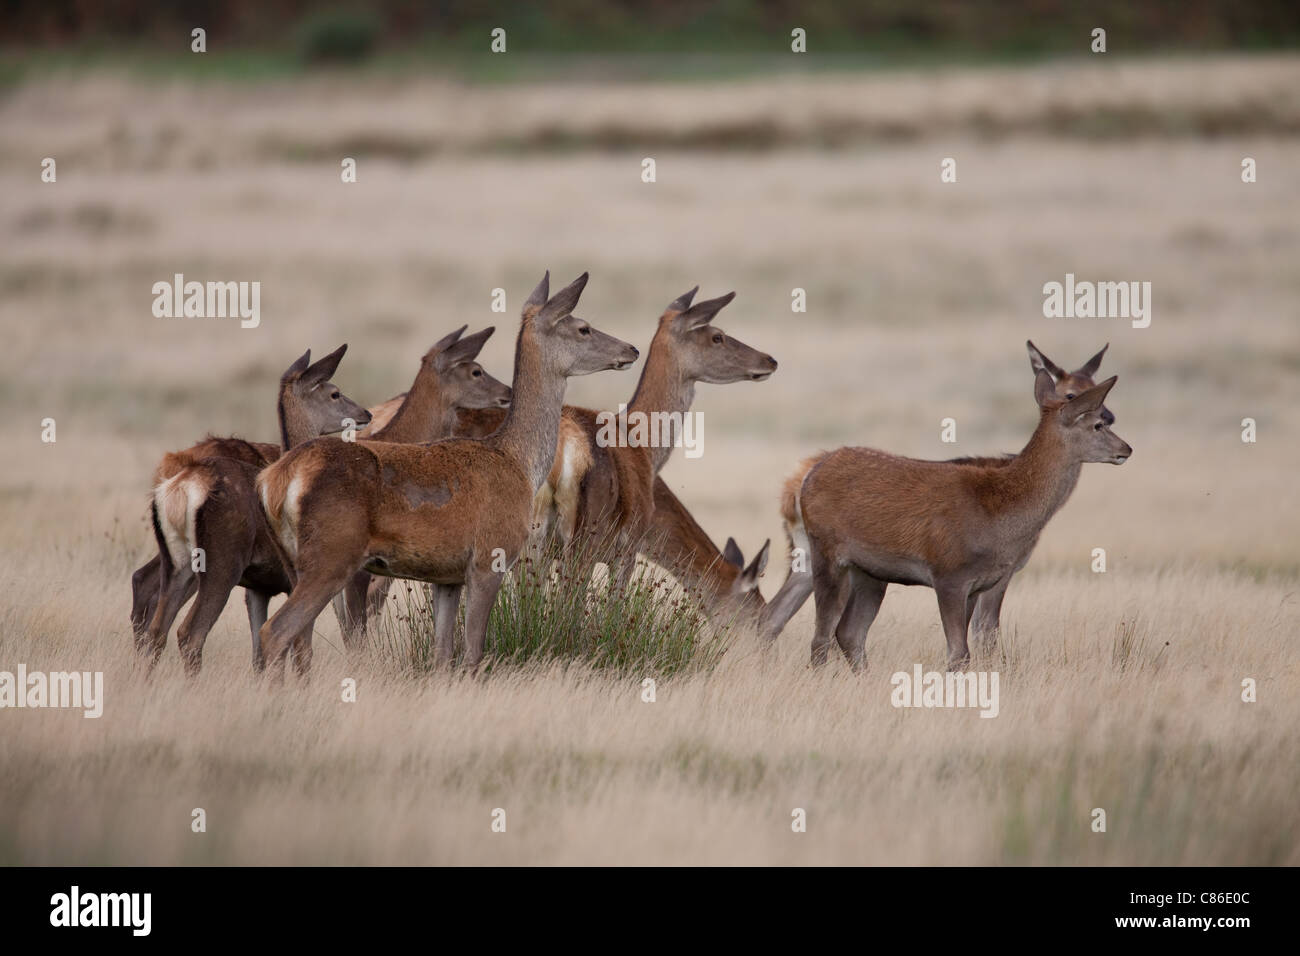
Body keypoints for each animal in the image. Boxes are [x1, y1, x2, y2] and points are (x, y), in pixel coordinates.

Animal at [137, 346, 372, 673]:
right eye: (334, 393)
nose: (366, 413)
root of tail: (180, 488)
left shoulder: (259, 586)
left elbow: (259, 653)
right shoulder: (293, 579)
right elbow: (300, 649)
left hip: (176, 563)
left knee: (156, 631)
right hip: (222, 561)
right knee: (190, 632)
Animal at [255, 271, 640, 676]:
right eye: (583, 328)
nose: (631, 349)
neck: (518, 462)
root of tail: (275, 480)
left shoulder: (446, 576)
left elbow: (442, 656)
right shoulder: (489, 556)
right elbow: (472, 655)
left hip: (293, 559)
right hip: (333, 552)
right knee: (277, 631)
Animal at [758, 341, 1114, 648]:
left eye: (1096, 387)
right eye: (1073, 395)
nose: (1112, 421)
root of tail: (798, 480)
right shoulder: (992, 574)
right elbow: (983, 634)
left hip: (820, 558)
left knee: (786, 618)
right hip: (831, 556)